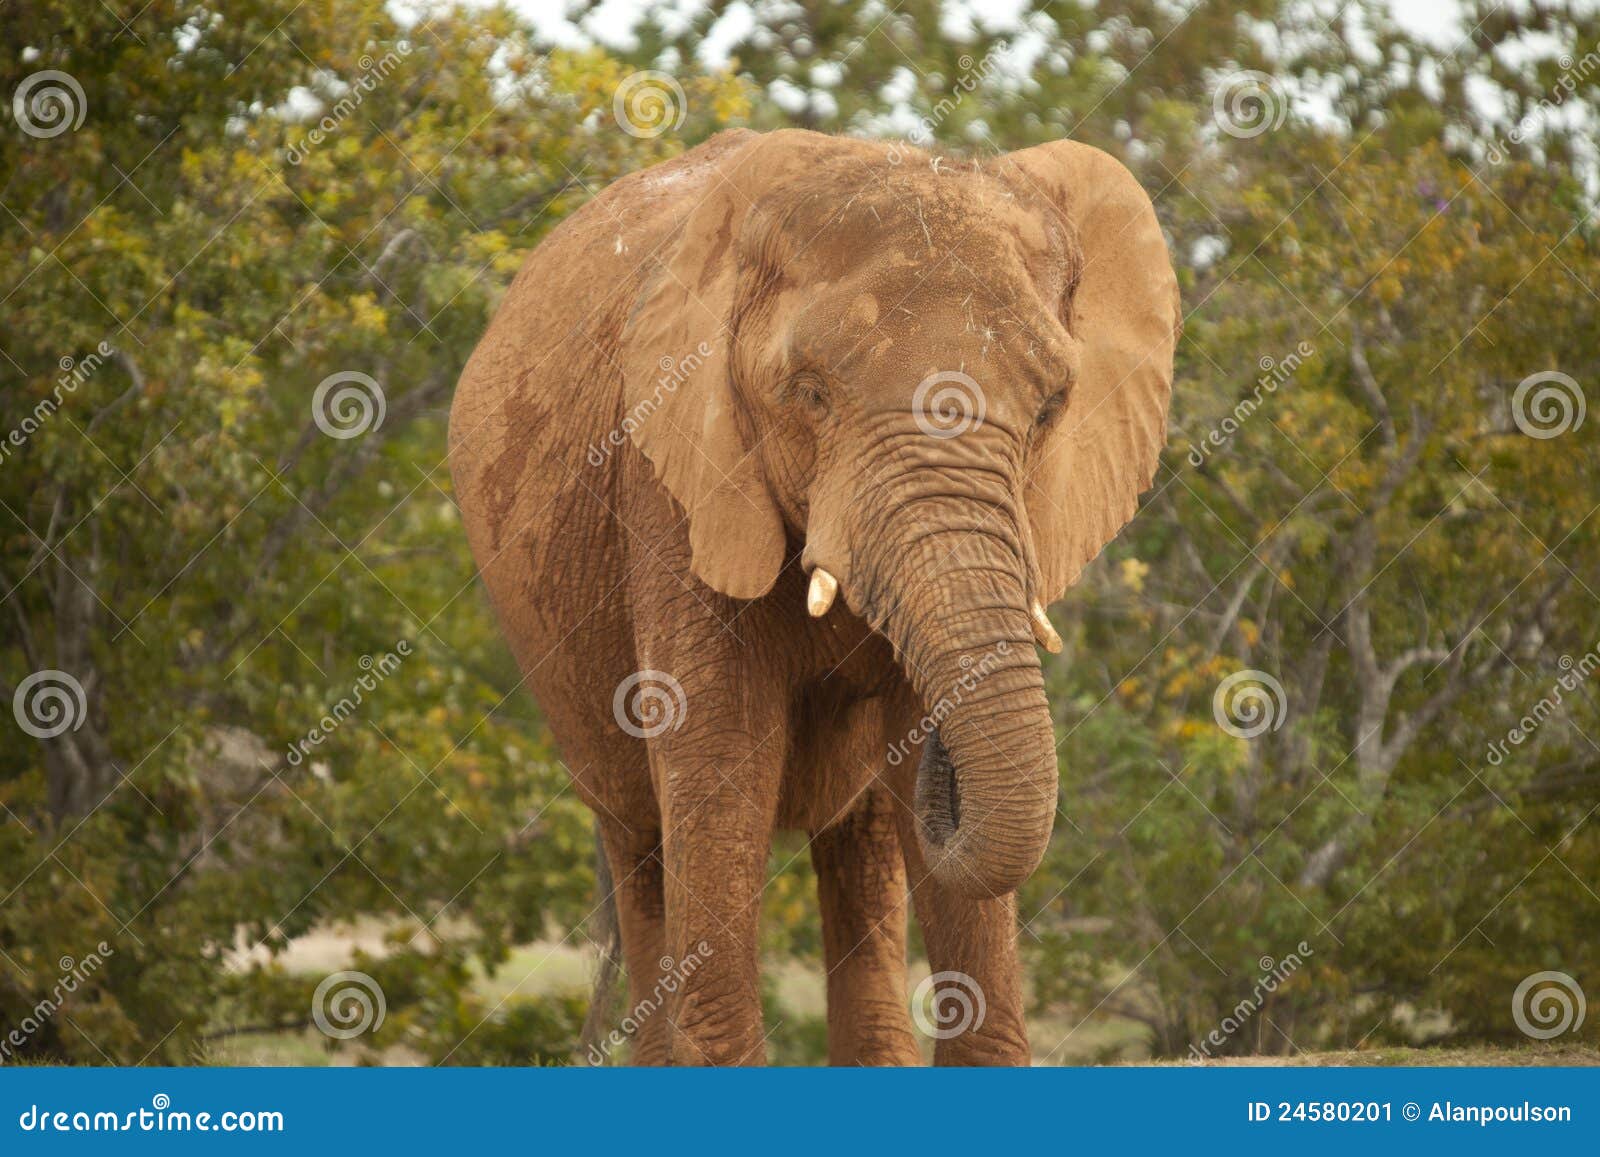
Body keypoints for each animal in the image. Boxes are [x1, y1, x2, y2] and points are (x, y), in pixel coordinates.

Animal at [448, 128, 1178, 1065]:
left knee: (860, 849)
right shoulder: (673, 480)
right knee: (643, 845)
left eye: (1053, 404)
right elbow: (721, 763)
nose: (942, 773)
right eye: (811, 395)